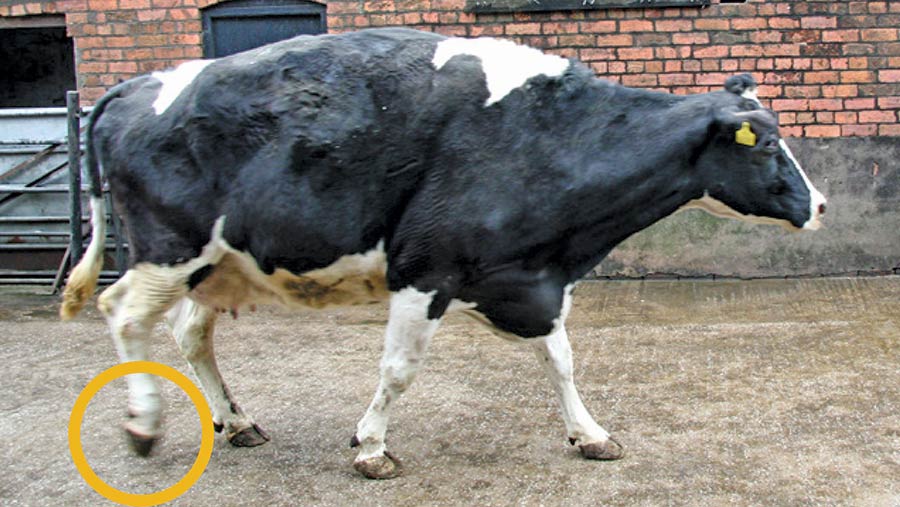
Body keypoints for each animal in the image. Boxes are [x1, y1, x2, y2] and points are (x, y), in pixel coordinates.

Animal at [61, 27, 826, 480]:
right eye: (767, 146)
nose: (820, 205)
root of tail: (138, 83)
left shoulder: (522, 277)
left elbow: (561, 360)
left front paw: (589, 433)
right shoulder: (425, 270)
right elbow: (398, 369)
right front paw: (371, 445)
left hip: (216, 263)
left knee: (190, 332)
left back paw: (237, 420)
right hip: (167, 247)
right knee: (123, 312)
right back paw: (144, 424)